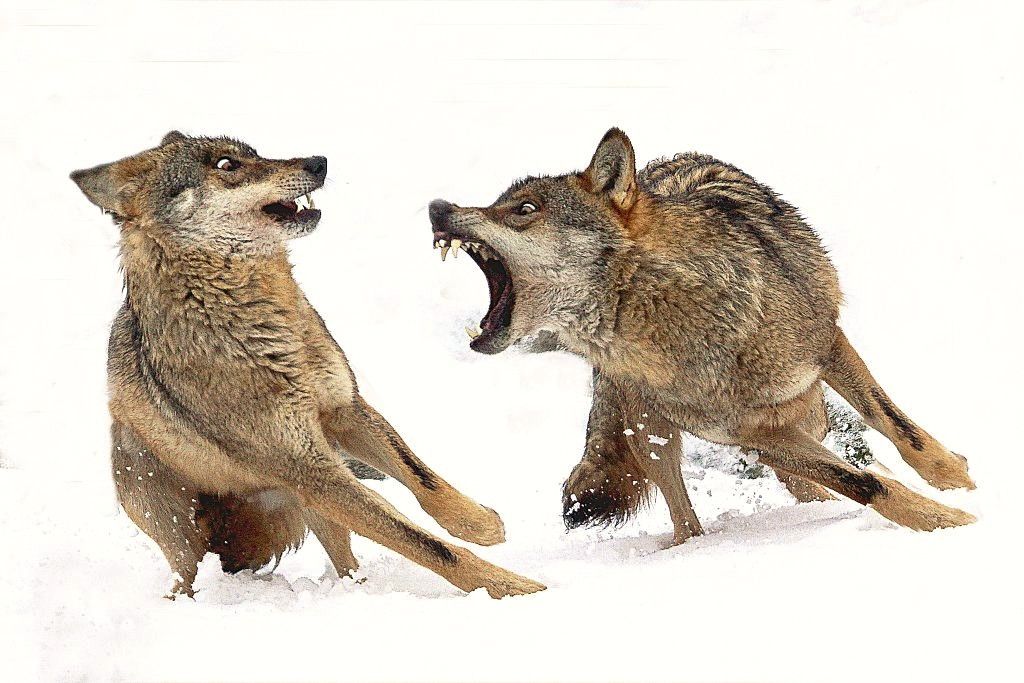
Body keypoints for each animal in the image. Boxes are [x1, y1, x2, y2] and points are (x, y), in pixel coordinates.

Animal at [71, 131, 544, 598]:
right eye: (226, 165)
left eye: (255, 152)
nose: (319, 162)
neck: (257, 318)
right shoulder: (312, 470)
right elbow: (430, 547)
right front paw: (518, 588)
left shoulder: (343, 410)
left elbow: (424, 481)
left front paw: (483, 525)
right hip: (193, 531)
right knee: (185, 578)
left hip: (313, 497)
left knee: (347, 565)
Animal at [428, 128, 975, 546]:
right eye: (499, 204)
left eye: (523, 209)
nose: (437, 207)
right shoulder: (753, 435)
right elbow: (864, 484)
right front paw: (950, 521)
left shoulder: (827, 346)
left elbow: (900, 431)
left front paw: (957, 487)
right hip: (653, 432)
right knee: (687, 520)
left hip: (808, 412)